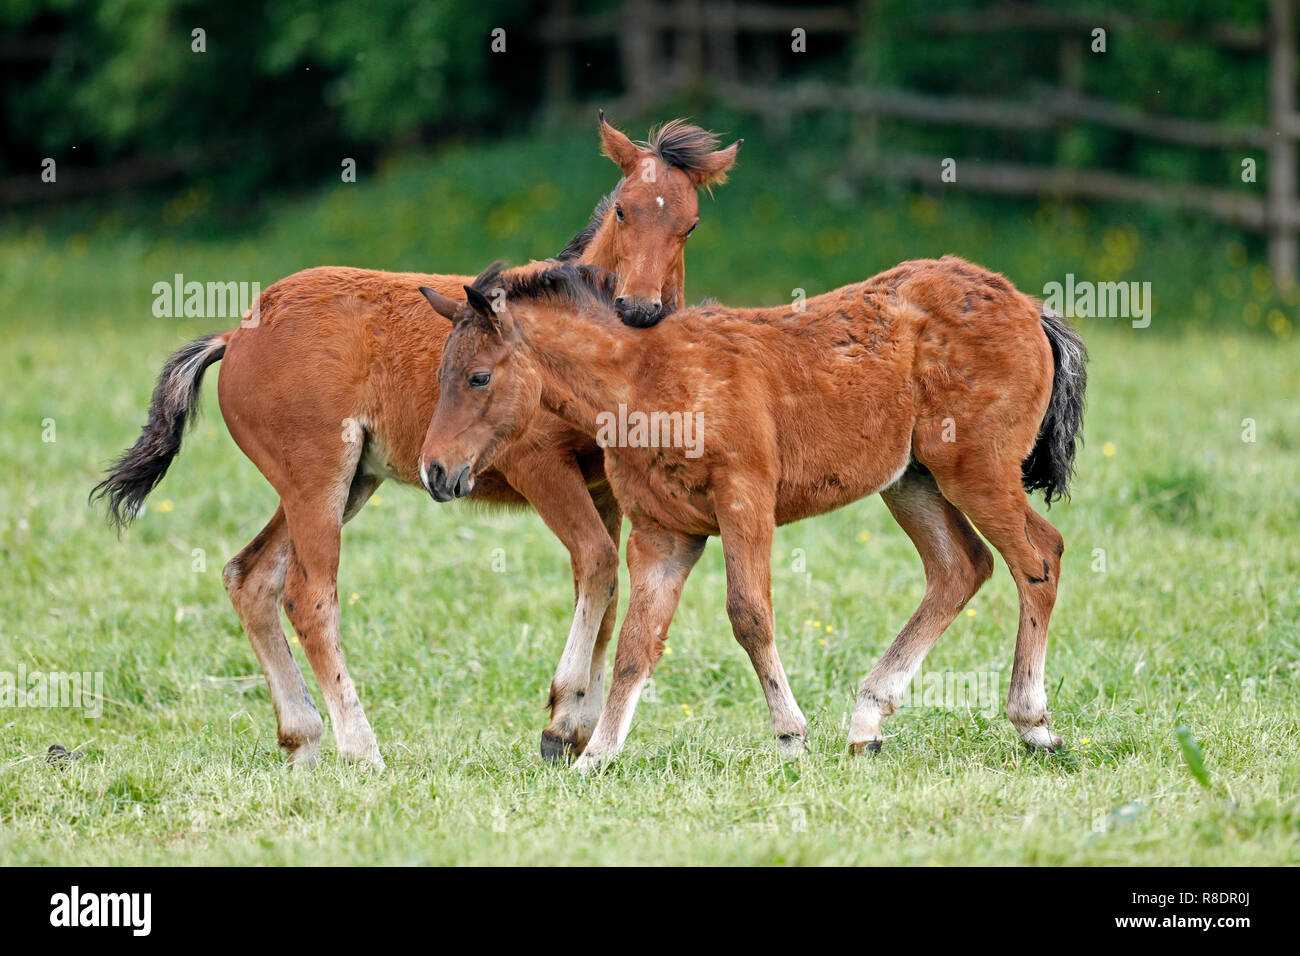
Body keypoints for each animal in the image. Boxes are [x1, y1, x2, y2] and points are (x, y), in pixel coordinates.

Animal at [90, 115, 742, 769]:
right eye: (624, 211)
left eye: (689, 224)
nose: (640, 308)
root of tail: (238, 332)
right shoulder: (539, 466)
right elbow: (600, 564)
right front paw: (563, 722)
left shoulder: (604, 486)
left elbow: (603, 595)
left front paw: (576, 724)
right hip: (318, 475)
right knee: (309, 594)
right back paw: (360, 748)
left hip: (349, 481)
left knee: (251, 579)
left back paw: (302, 739)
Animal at [416, 256, 1087, 770]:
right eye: (442, 373)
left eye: (479, 377)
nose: (436, 472)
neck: (648, 381)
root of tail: (1029, 307)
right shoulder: (664, 534)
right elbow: (636, 643)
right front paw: (596, 757)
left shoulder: (745, 503)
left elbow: (749, 616)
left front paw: (790, 737)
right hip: (911, 480)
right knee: (962, 567)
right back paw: (868, 721)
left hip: (976, 471)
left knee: (1038, 558)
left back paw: (1033, 724)